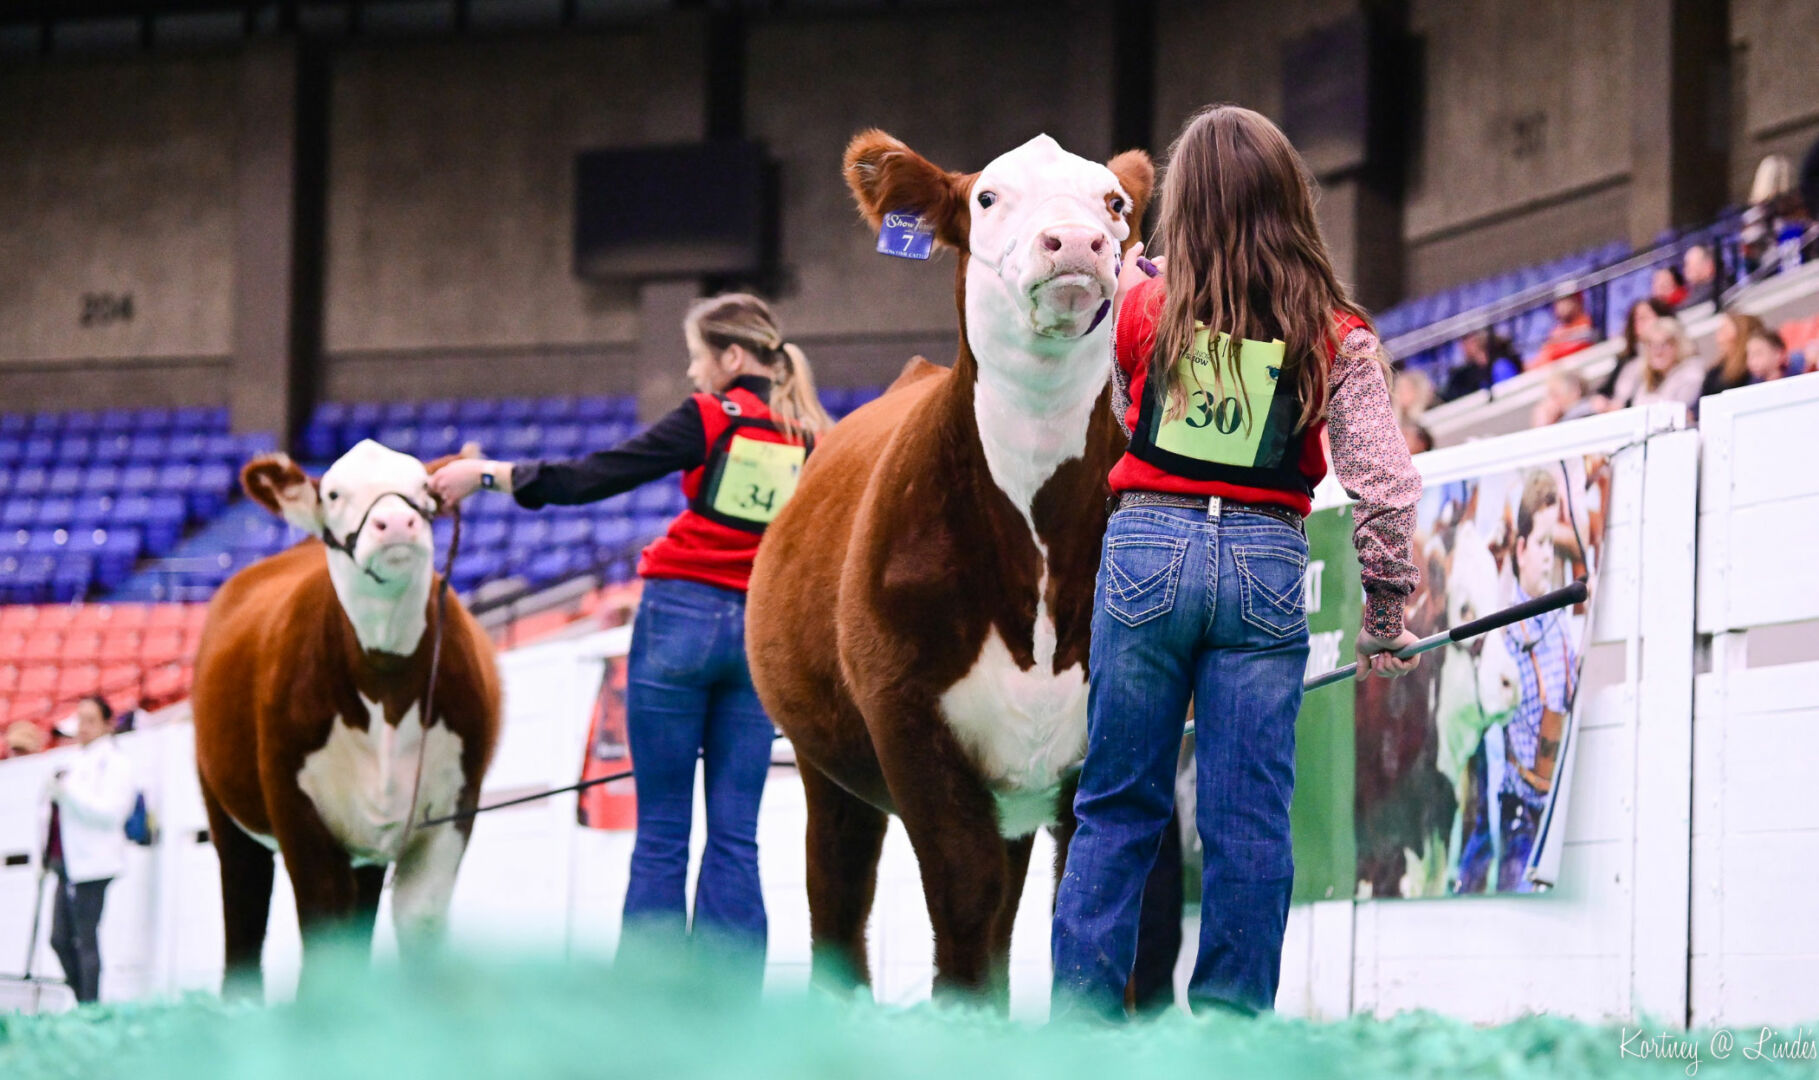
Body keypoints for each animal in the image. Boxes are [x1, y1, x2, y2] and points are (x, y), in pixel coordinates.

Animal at [191, 440, 500, 997]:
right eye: (334, 493)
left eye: (423, 486)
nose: (397, 522)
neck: (386, 687)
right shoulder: (293, 804)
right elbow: (322, 926)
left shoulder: (455, 807)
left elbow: (417, 922)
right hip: (222, 804)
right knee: (243, 919)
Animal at [746, 131, 1152, 1003]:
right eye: (987, 197)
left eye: (1113, 202)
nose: (1076, 242)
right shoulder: (903, 713)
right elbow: (963, 897)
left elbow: (1095, 892)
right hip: (825, 768)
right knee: (838, 899)